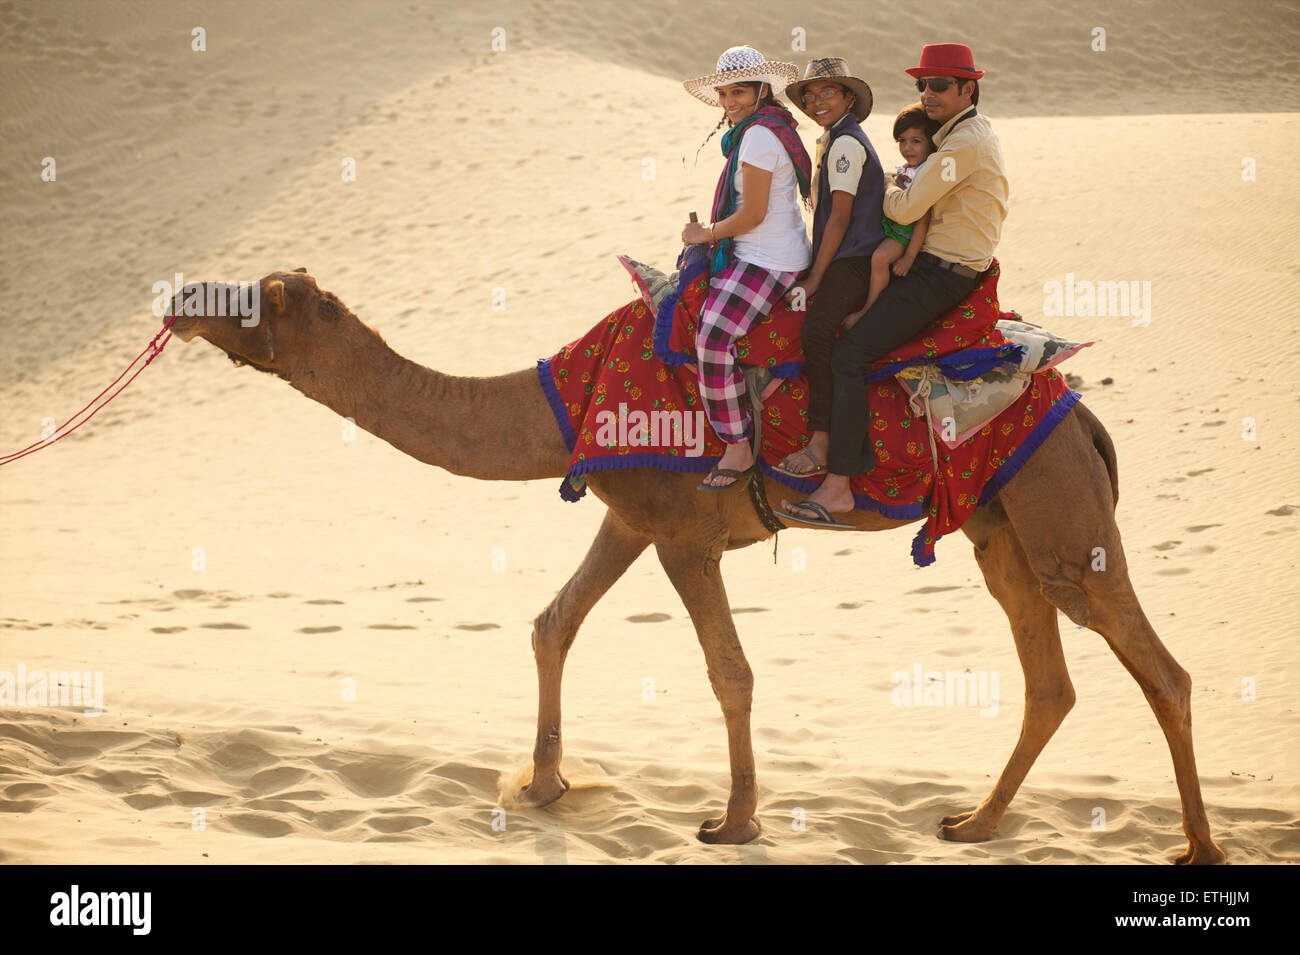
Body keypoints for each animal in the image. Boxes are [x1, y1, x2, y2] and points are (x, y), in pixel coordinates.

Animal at [166, 269, 1225, 864]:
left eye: (254, 300)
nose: (178, 300)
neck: (558, 401)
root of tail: (1082, 415)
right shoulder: (631, 514)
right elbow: (554, 620)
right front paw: (545, 787)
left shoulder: (682, 535)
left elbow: (729, 671)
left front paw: (736, 821)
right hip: (1000, 526)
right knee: (1049, 676)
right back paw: (974, 824)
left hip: (1060, 515)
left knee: (1159, 667)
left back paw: (1199, 846)